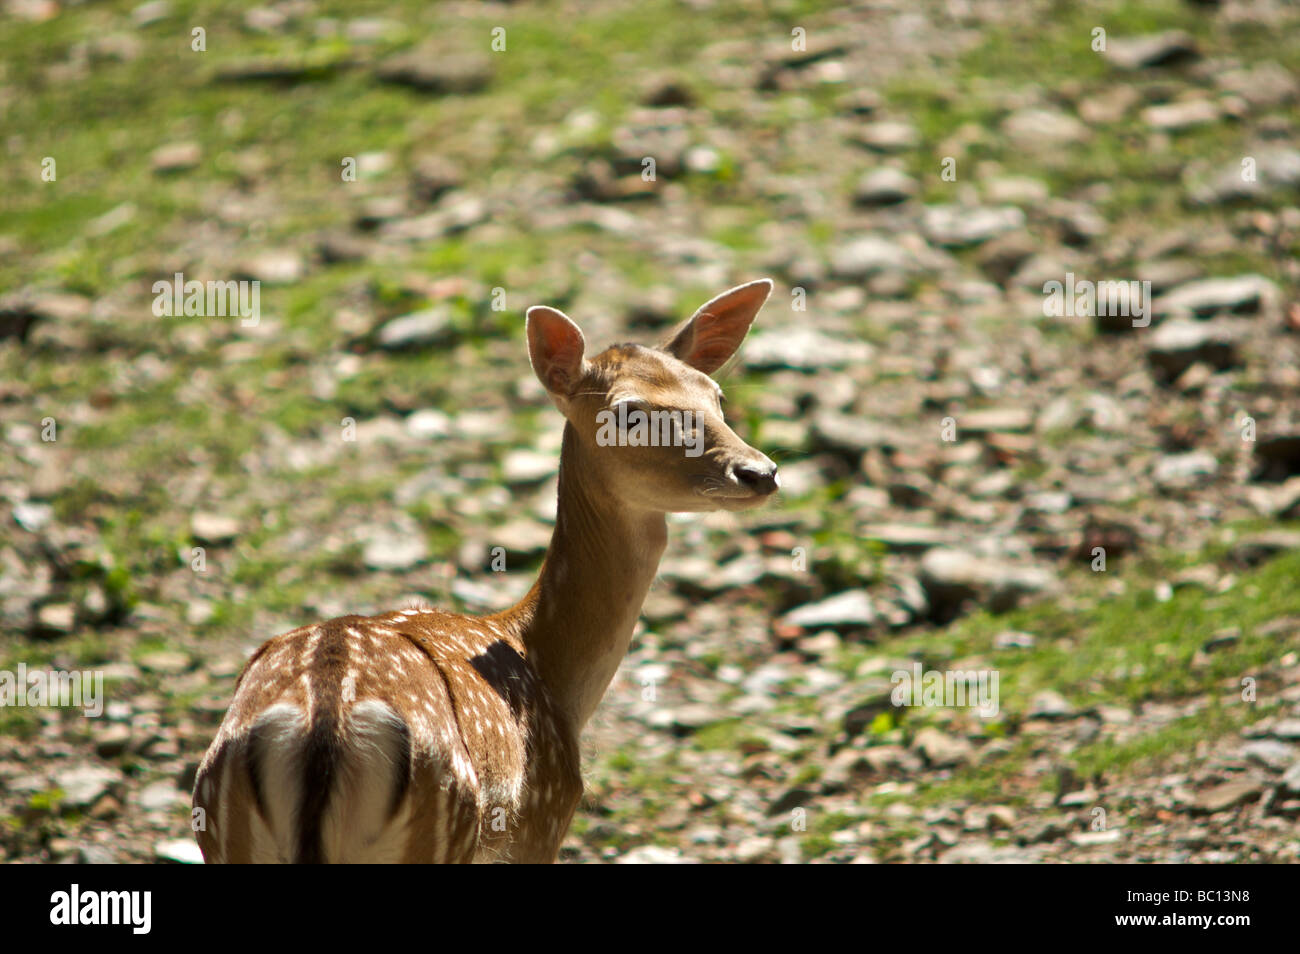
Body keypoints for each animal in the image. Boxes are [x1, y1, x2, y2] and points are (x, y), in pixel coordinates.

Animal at [192, 279, 781, 863]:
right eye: (628, 413)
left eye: (716, 395)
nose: (761, 472)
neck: (548, 669)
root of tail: (322, 730)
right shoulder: (543, 817)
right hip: (442, 826)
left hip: (222, 824)